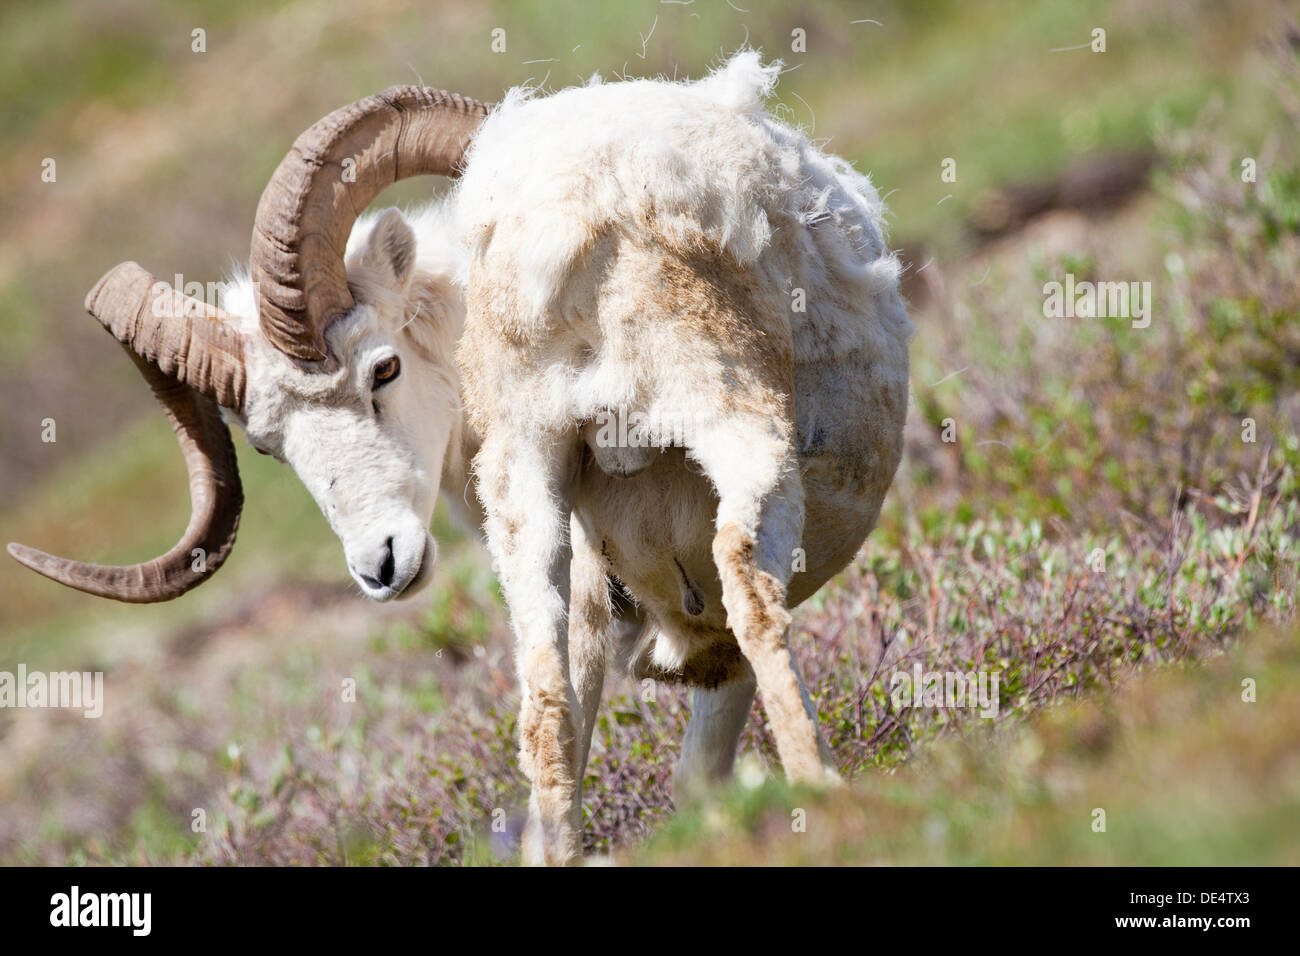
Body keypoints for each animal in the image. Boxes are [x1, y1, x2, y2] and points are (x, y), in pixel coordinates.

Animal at [9, 53, 912, 866]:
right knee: (746, 584)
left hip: (532, 483)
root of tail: (577, 220)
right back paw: (822, 791)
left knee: (545, 690)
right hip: (729, 416)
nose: (381, 566)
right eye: (269, 445)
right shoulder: (696, 641)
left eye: (383, 370)